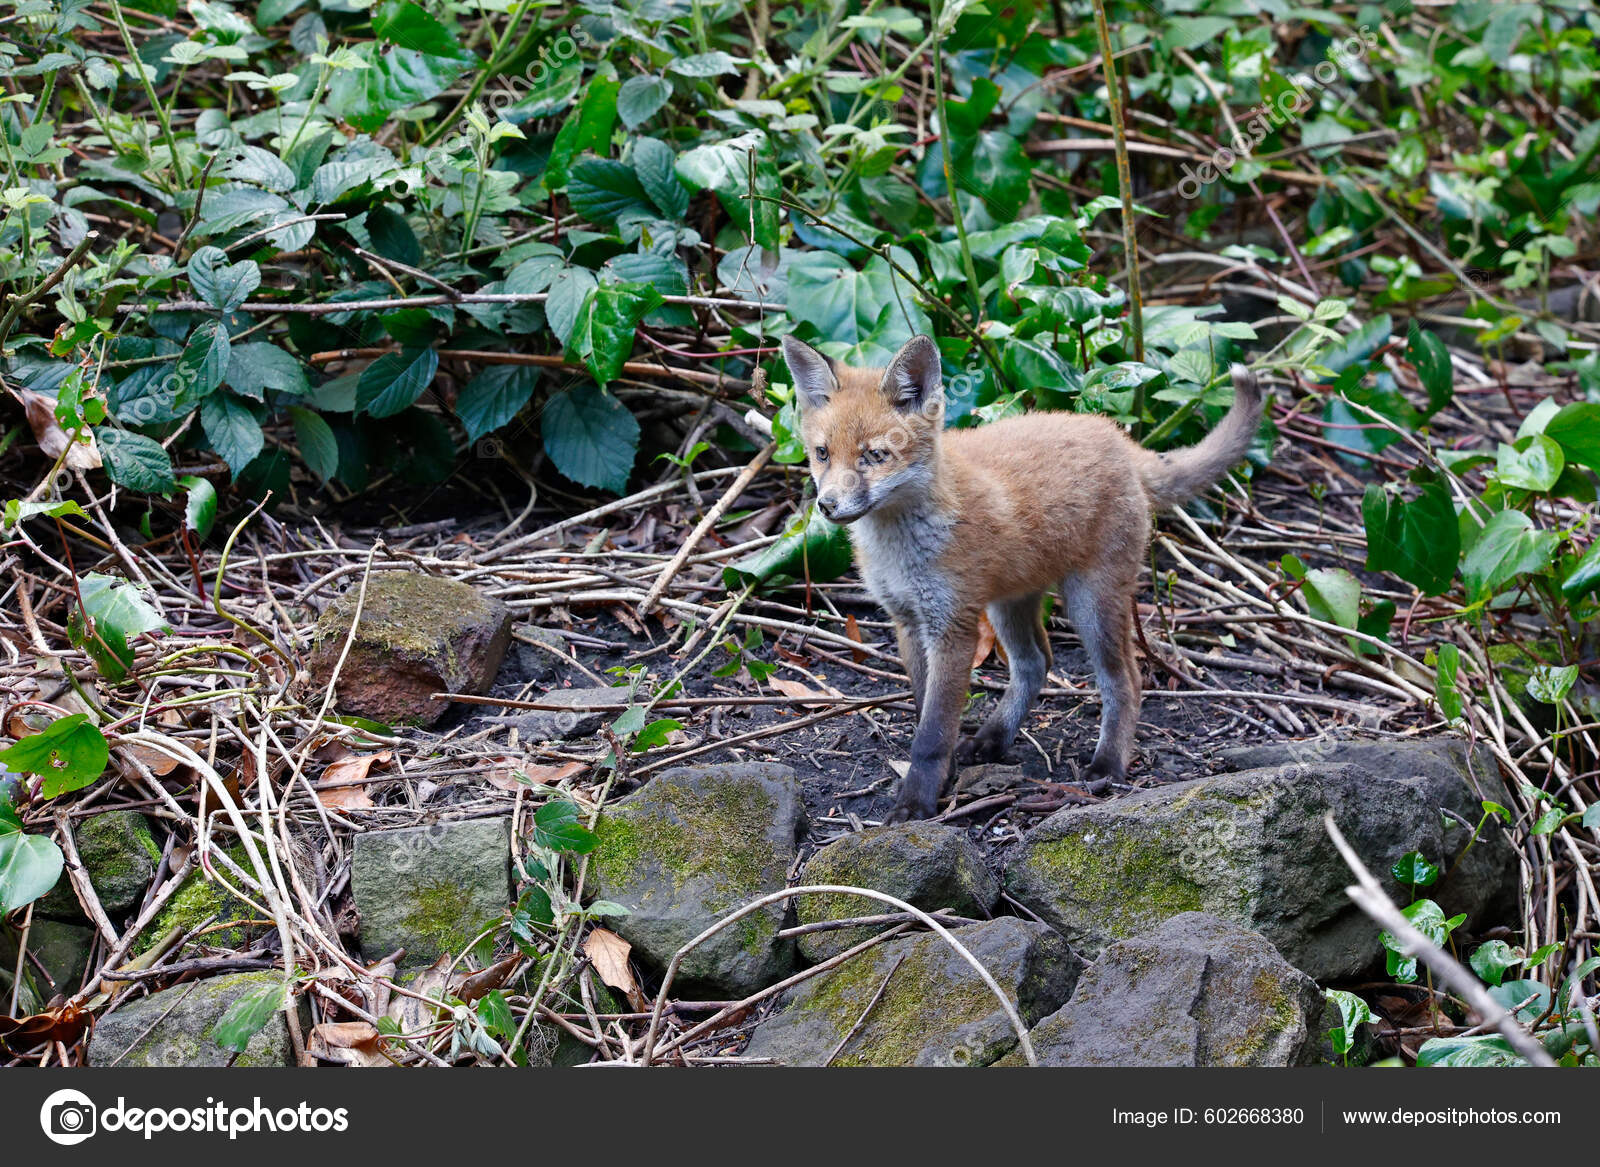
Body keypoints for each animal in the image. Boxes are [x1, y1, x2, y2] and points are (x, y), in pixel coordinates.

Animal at [781, 333, 1264, 822]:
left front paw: (917, 801)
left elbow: (932, 734)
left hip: (1092, 604)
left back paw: (1108, 762)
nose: (827, 506)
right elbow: (923, 708)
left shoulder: (952, 628)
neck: (900, 548)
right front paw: (946, 773)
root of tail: (1117, 436)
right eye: (822, 453)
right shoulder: (908, 621)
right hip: (1009, 603)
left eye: (875, 456)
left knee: (1125, 680)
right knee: (1036, 664)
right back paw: (994, 738)